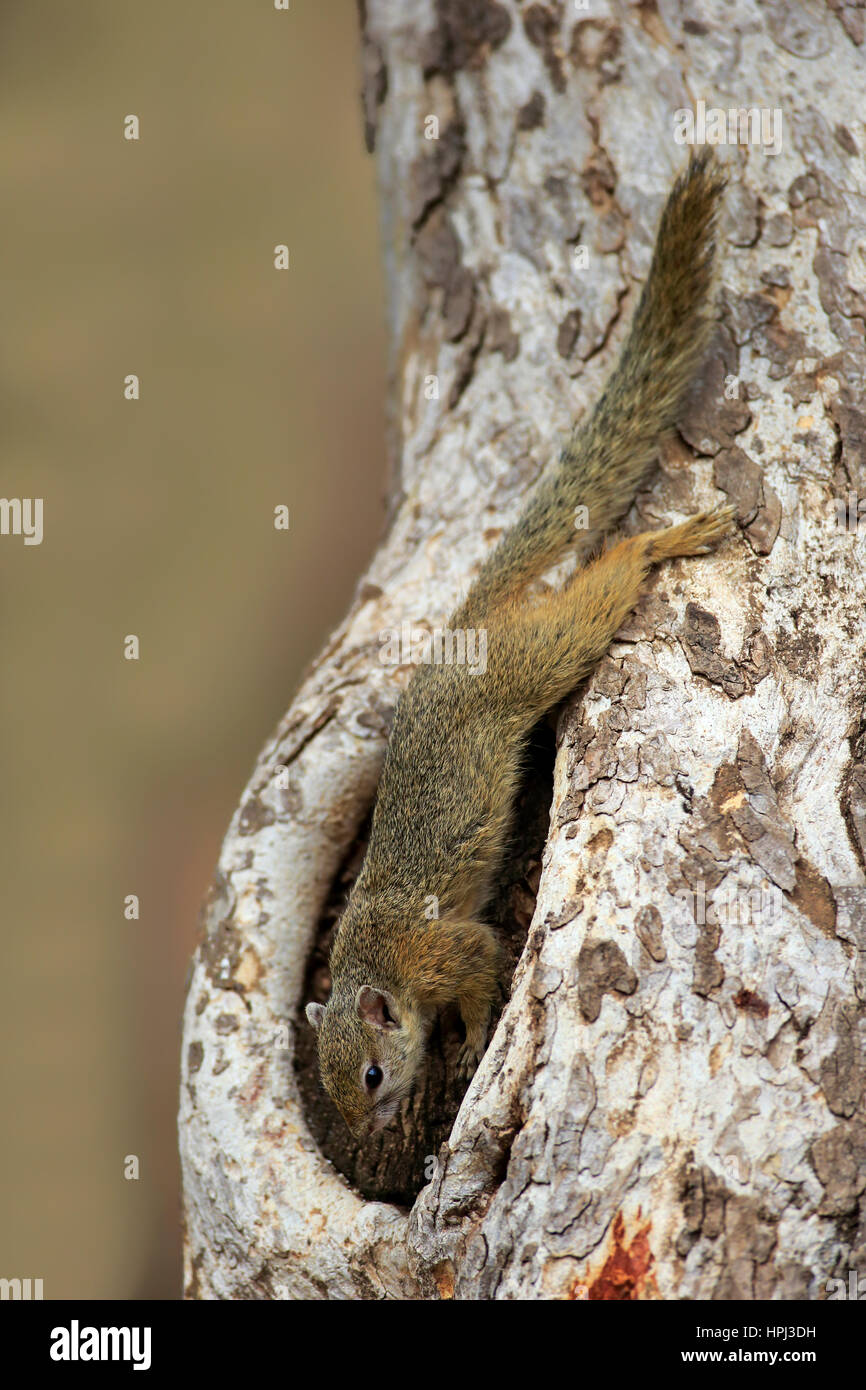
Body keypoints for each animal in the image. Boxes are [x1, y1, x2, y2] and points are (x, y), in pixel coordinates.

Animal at [306, 150, 733, 1139]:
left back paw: (668, 542)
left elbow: (484, 967)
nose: (371, 1132)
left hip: (541, 655)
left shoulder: (447, 947)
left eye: (373, 1075)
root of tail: (465, 632)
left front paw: (466, 1045)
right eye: (334, 1091)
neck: (378, 971)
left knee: (608, 577)